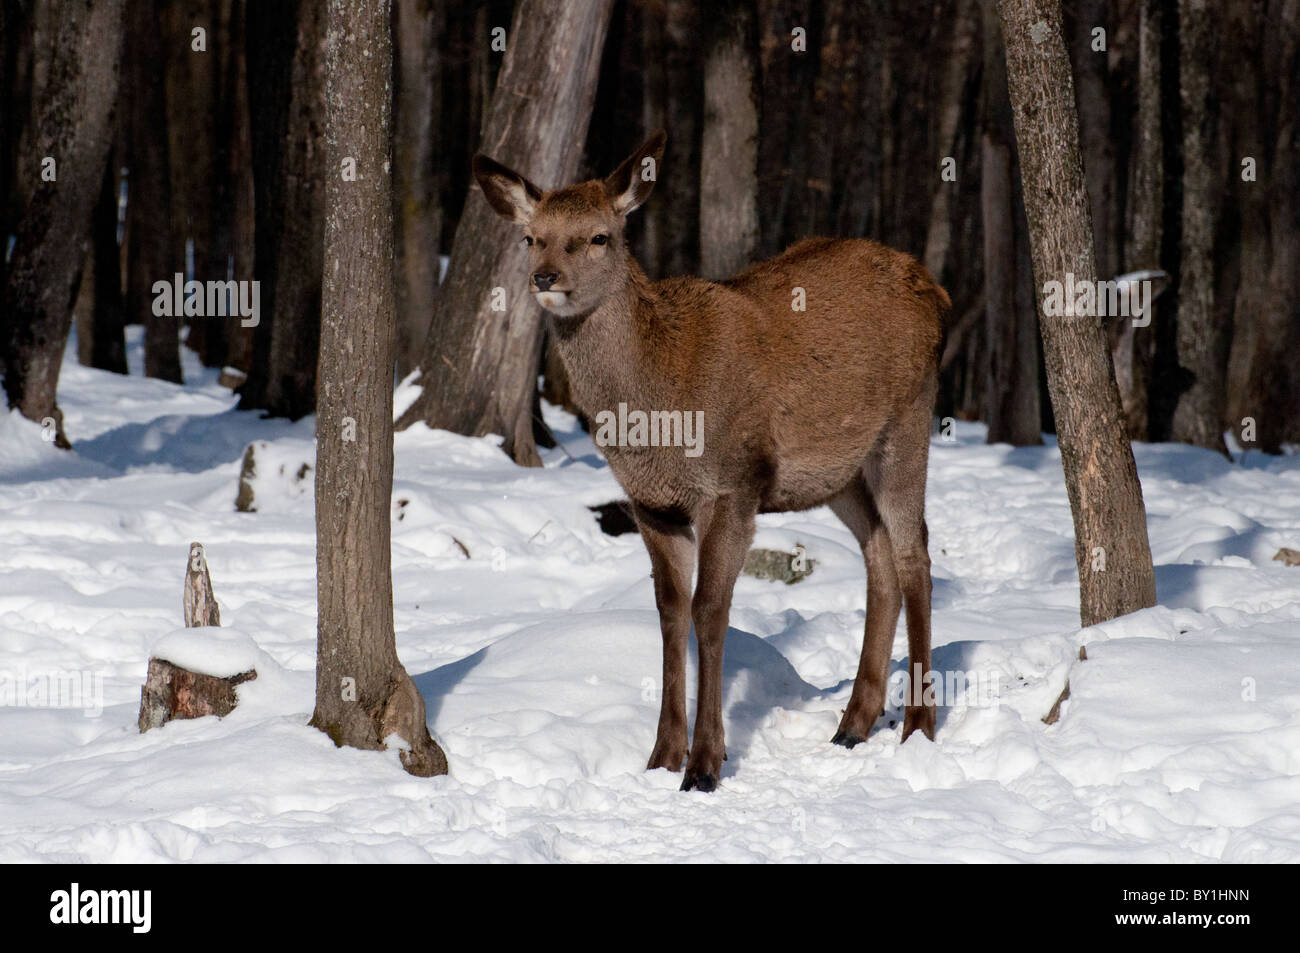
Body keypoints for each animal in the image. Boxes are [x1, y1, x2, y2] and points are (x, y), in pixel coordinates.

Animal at [473, 131, 949, 792]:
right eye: (530, 236)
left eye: (599, 236)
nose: (546, 276)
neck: (659, 412)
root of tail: (935, 289)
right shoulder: (652, 504)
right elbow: (670, 613)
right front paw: (661, 755)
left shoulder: (732, 486)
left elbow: (710, 612)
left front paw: (704, 765)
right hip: (839, 473)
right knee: (879, 554)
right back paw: (854, 722)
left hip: (906, 421)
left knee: (915, 553)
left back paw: (918, 726)